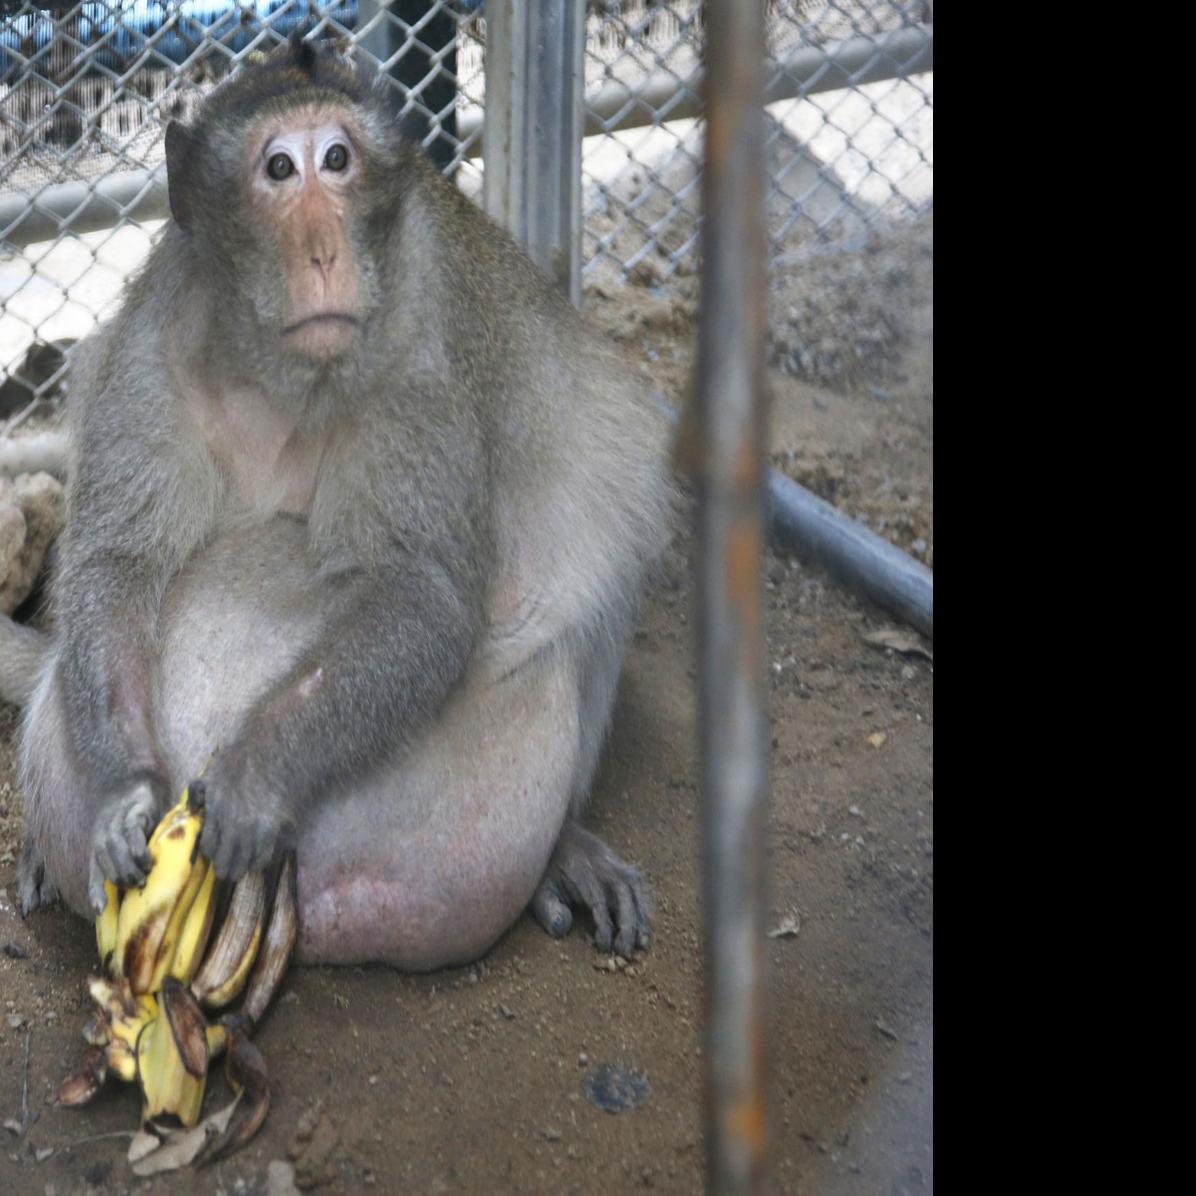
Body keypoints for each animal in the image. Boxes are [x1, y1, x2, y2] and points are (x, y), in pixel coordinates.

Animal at [0, 33, 673, 968]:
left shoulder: (421, 357)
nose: (324, 253)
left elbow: (423, 594)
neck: (285, 374)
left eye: (339, 161)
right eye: (279, 168)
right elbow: (117, 564)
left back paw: (562, 848)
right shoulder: (150, 347)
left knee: (610, 498)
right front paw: (125, 796)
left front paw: (255, 776)